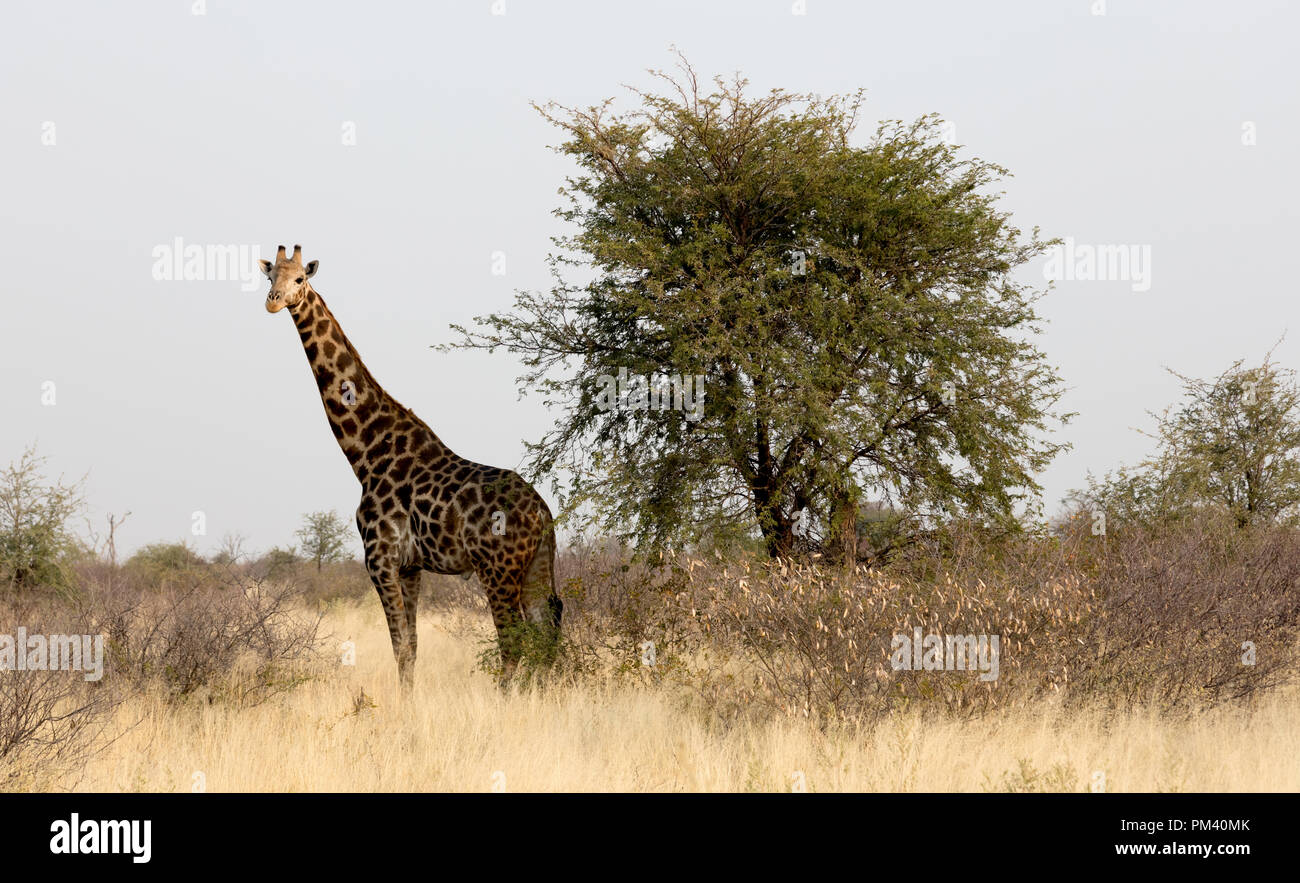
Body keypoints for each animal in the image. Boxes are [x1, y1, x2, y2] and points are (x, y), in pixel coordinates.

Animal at [260, 245, 562, 688]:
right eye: (270, 277)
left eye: (300, 278)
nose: (273, 301)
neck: (365, 452)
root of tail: (542, 511)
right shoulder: (410, 566)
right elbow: (413, 649)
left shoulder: (379, 558)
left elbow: (399, 648)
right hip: (538, 564)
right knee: (546, 631)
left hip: (498, 570)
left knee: (515, 642)